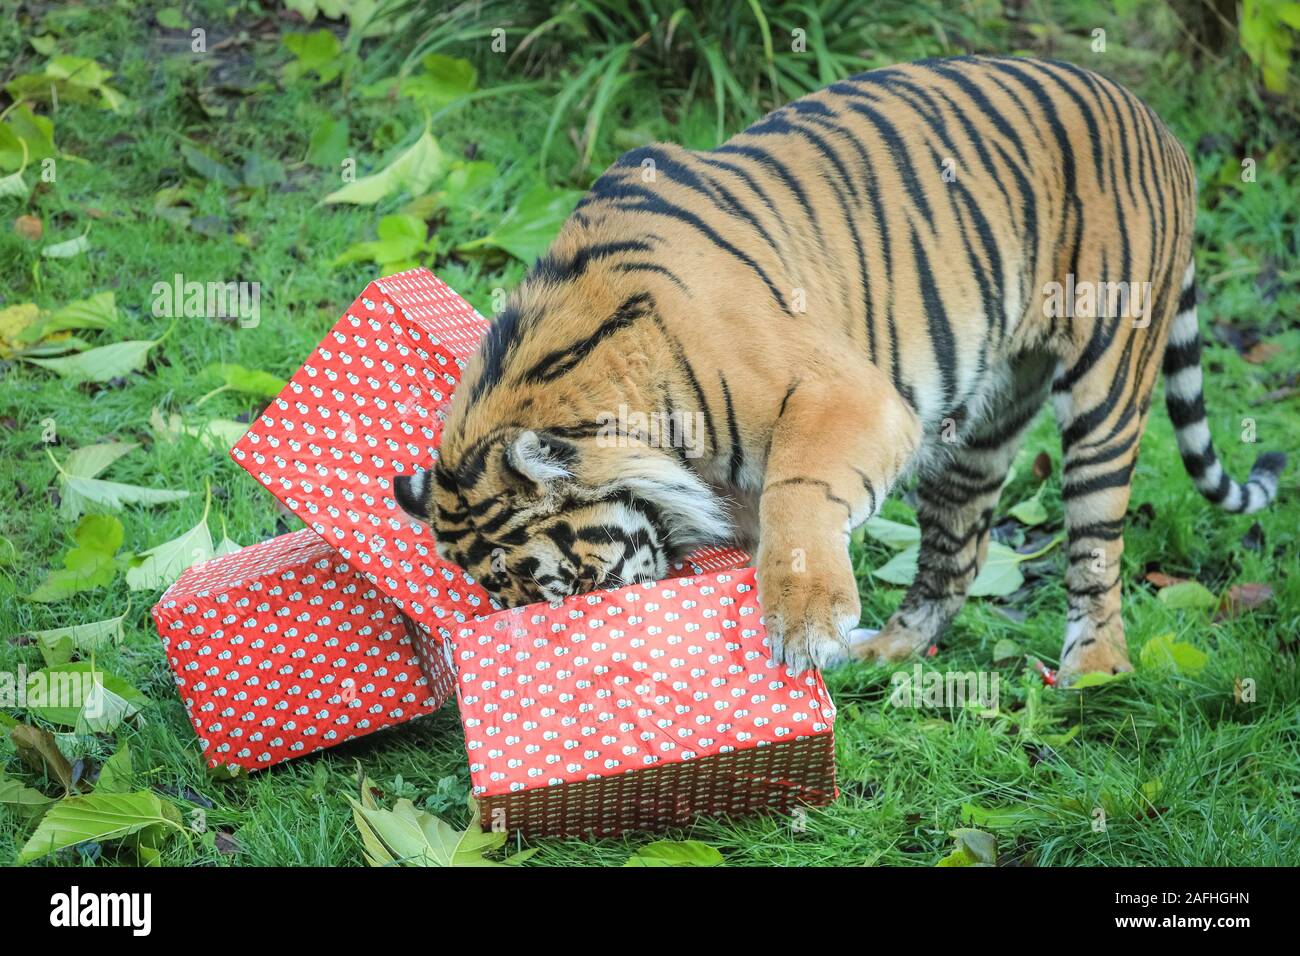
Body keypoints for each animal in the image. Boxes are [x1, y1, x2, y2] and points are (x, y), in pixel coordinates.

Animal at [393, 55, 1286, 681]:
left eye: (565, 583)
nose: (598, 644)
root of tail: (1156, 120)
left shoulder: (847, 394)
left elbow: (799, 494)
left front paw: (805, 625)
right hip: (979, 426)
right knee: (957, 559)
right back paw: (884, 651)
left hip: (1106, 383)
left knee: (1097, 550)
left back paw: (1094, 674)